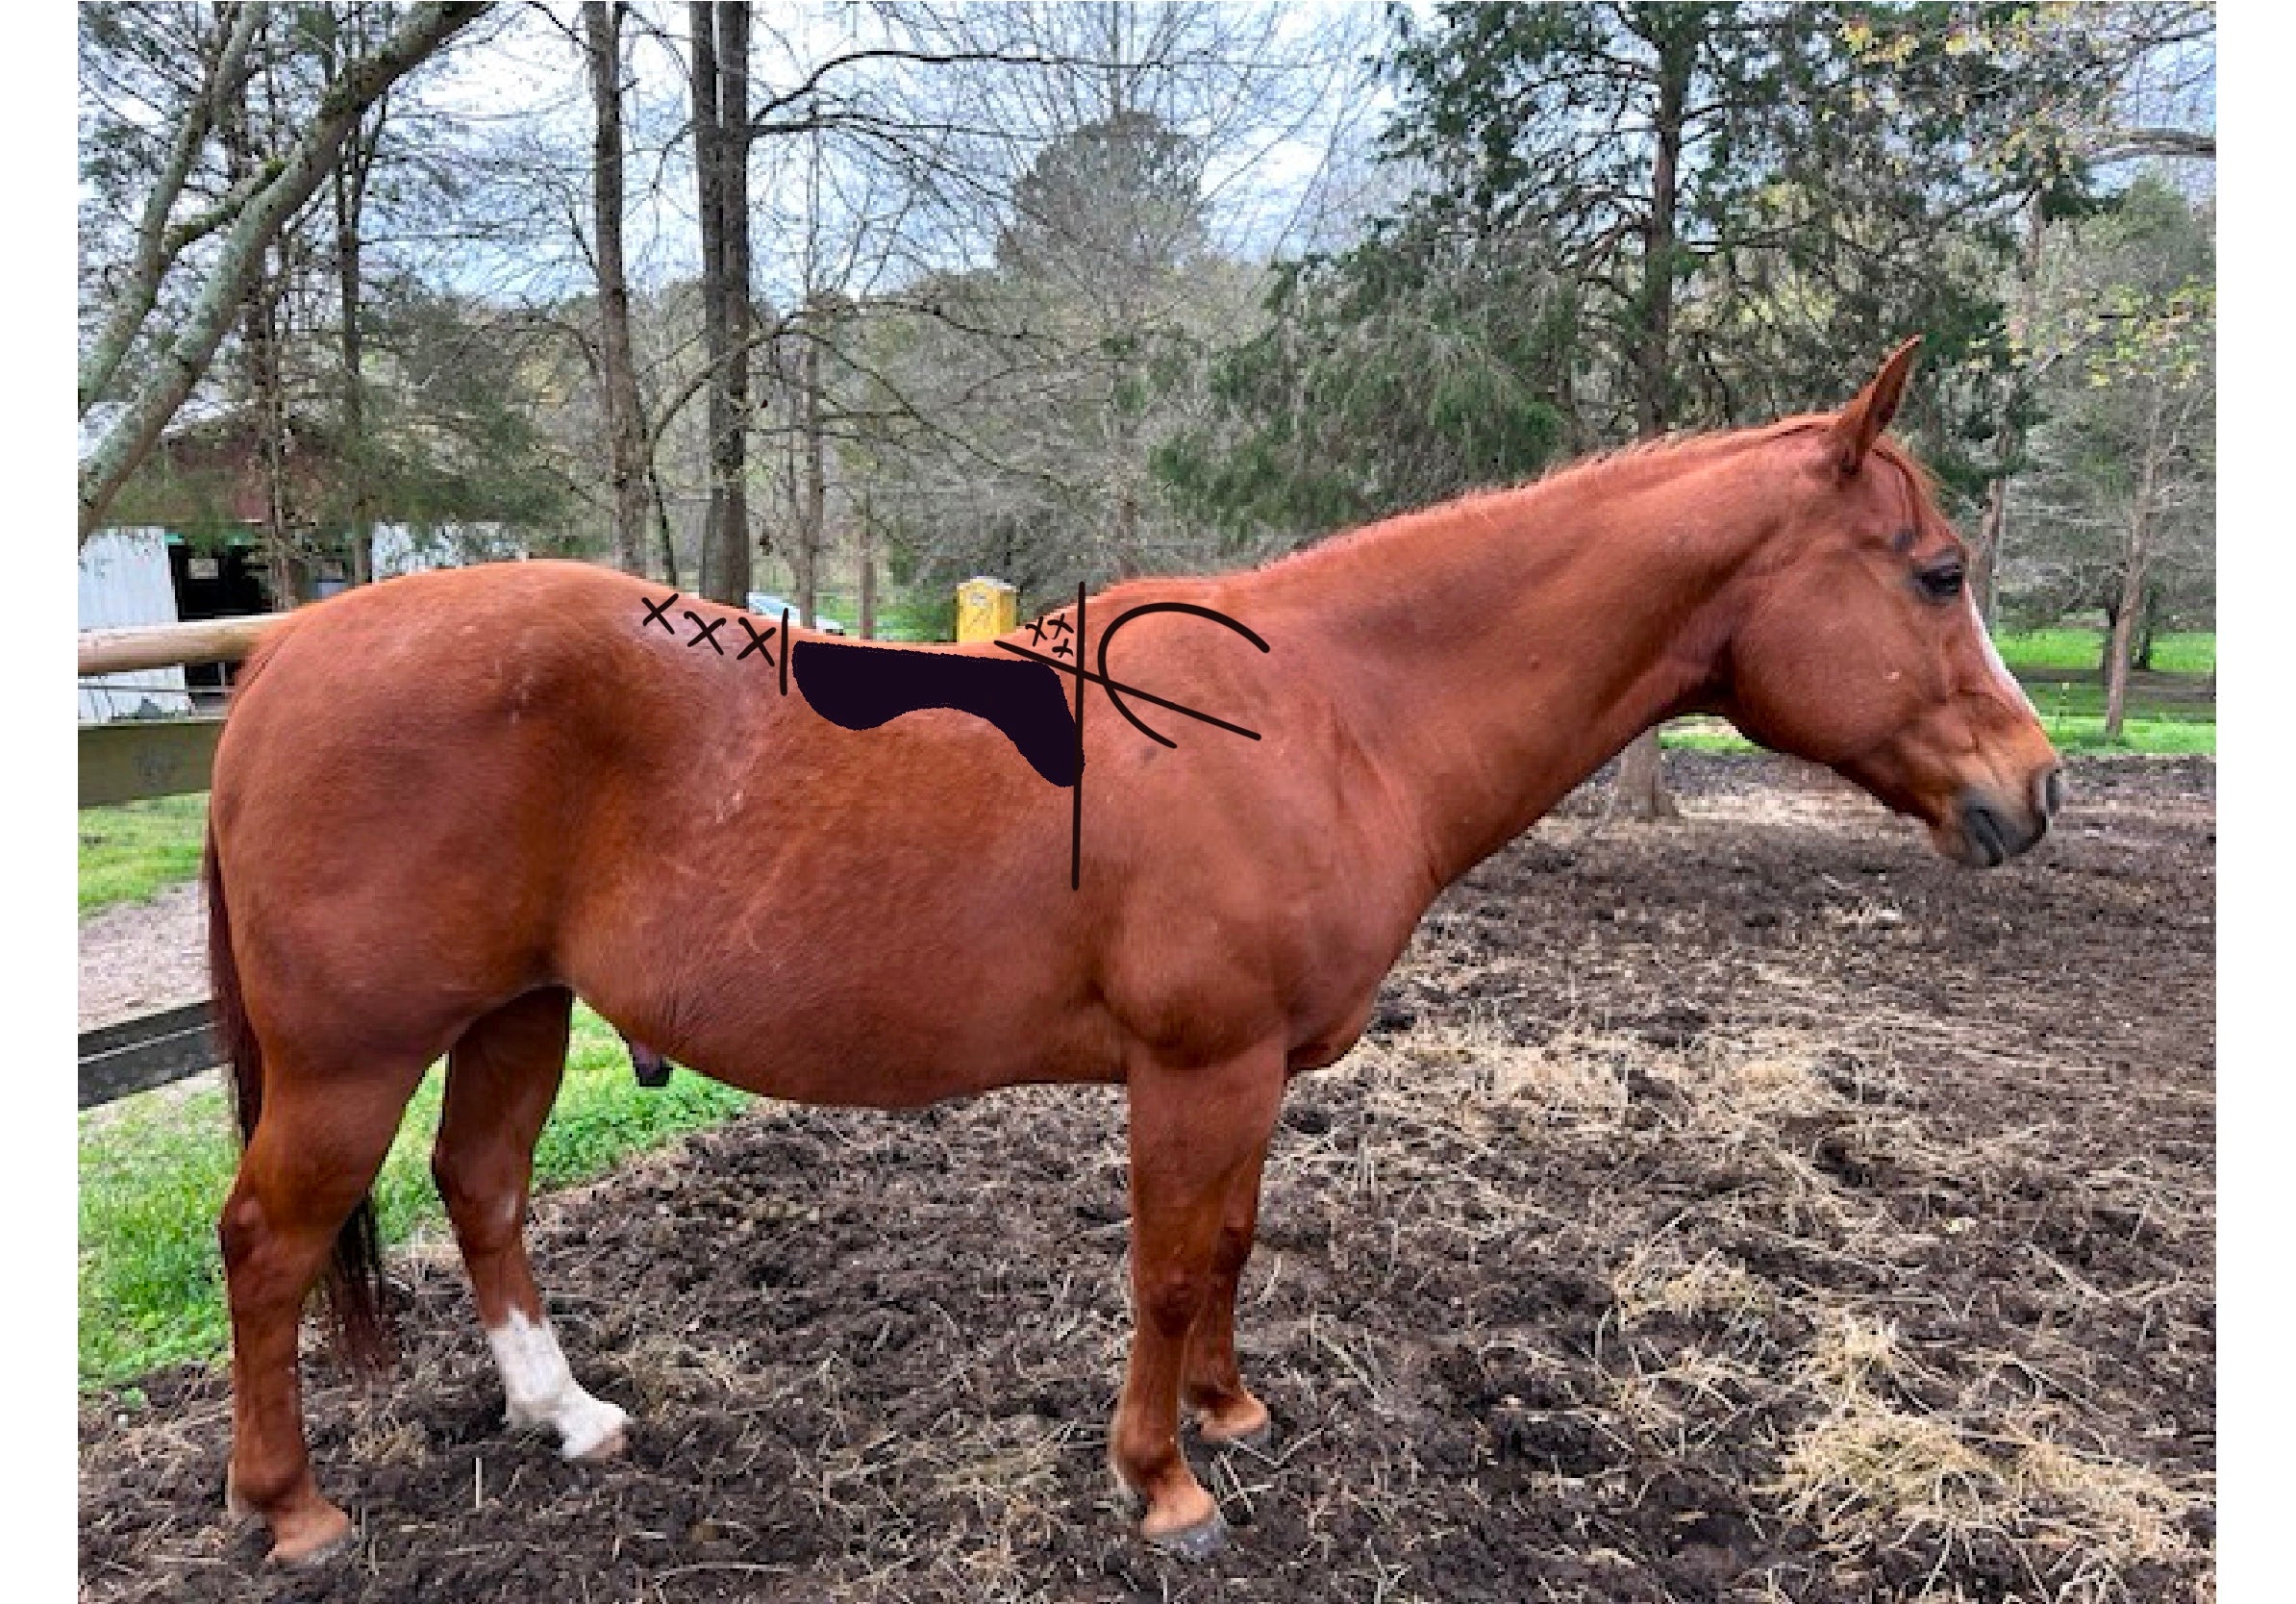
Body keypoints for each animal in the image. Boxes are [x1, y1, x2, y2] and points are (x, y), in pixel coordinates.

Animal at [203, 339, 2061, 1565]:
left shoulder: (1257, 1076)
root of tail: (290, 654)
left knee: (483, 1191)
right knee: (267, 1244)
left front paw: (1231, 1416)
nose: (2034, 791)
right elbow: (1167, 1266)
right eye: (1933, 571)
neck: (1331, 712)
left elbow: (1229, 1243)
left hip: (516, 1011)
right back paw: (291, 1508)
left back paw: (568, 1415)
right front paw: (1164, 1484)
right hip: (354, 1054)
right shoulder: (1196, 1064)